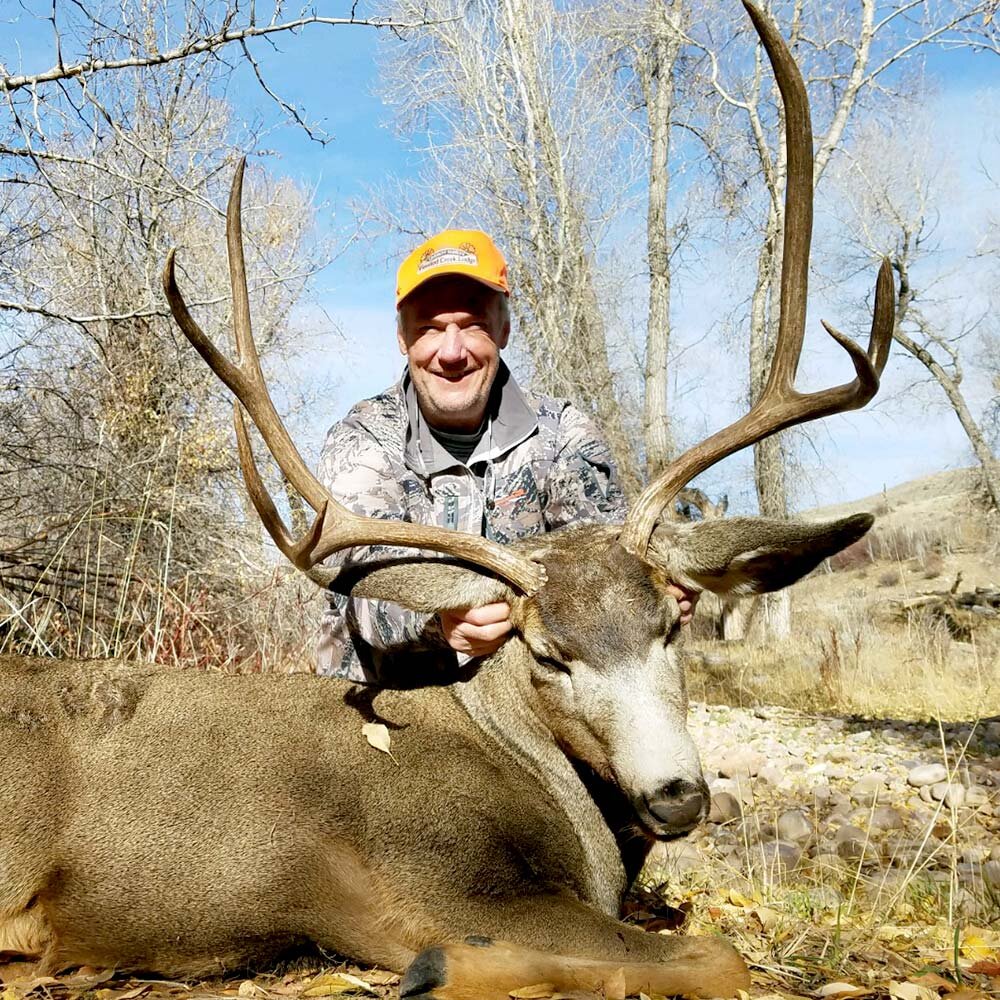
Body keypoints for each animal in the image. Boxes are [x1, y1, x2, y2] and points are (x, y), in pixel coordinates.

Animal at [0, 3, 894, 998]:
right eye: (547, 655)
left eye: (673, 625)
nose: (679, 794)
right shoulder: (431, 873)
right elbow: (710, 953)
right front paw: (448, 967)